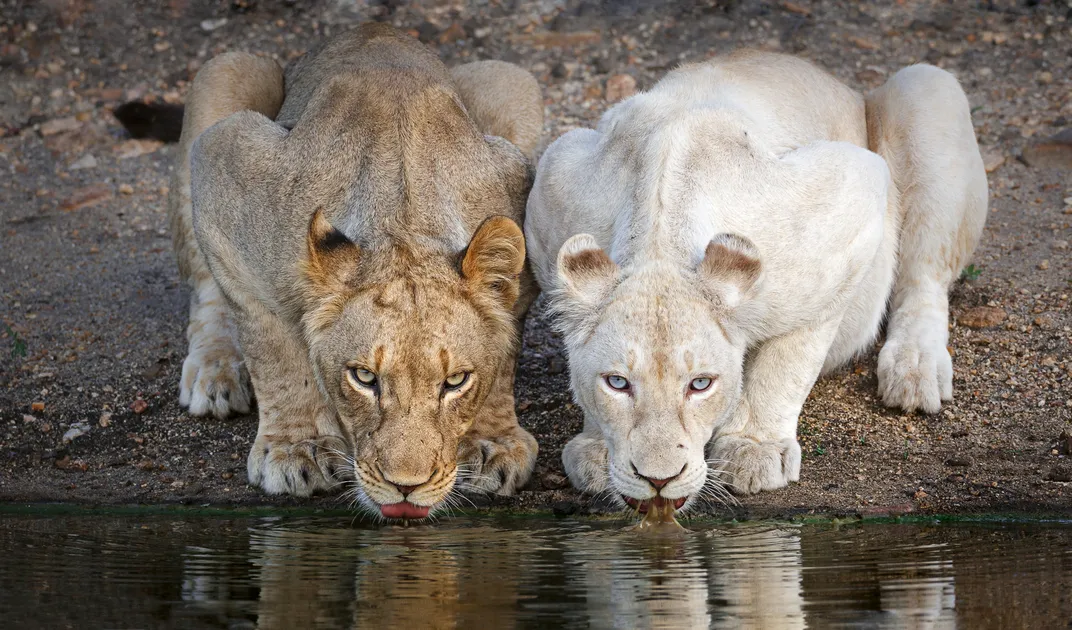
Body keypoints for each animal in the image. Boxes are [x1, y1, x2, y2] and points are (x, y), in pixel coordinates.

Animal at [160, 23, 543, 518]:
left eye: (455, 382)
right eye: (364, 378)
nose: (406, 487)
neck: (403, 219)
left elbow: (504, 351)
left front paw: (491, 442)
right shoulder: (225, 163)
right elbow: (273, 348)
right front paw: (297, 448)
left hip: (511, 79)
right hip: (227, 69)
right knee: (207, 293)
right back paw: (215, 375)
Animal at [524, 51, 987, 509]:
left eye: (700, 384)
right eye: (617, 383)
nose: (658, 480)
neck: (659, 236)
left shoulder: (853, 200)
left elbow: (788, 361)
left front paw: (753, 448)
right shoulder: (553, 181)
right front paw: (595, 450)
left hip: (926, 88)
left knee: (924, 277)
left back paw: (915, 371)